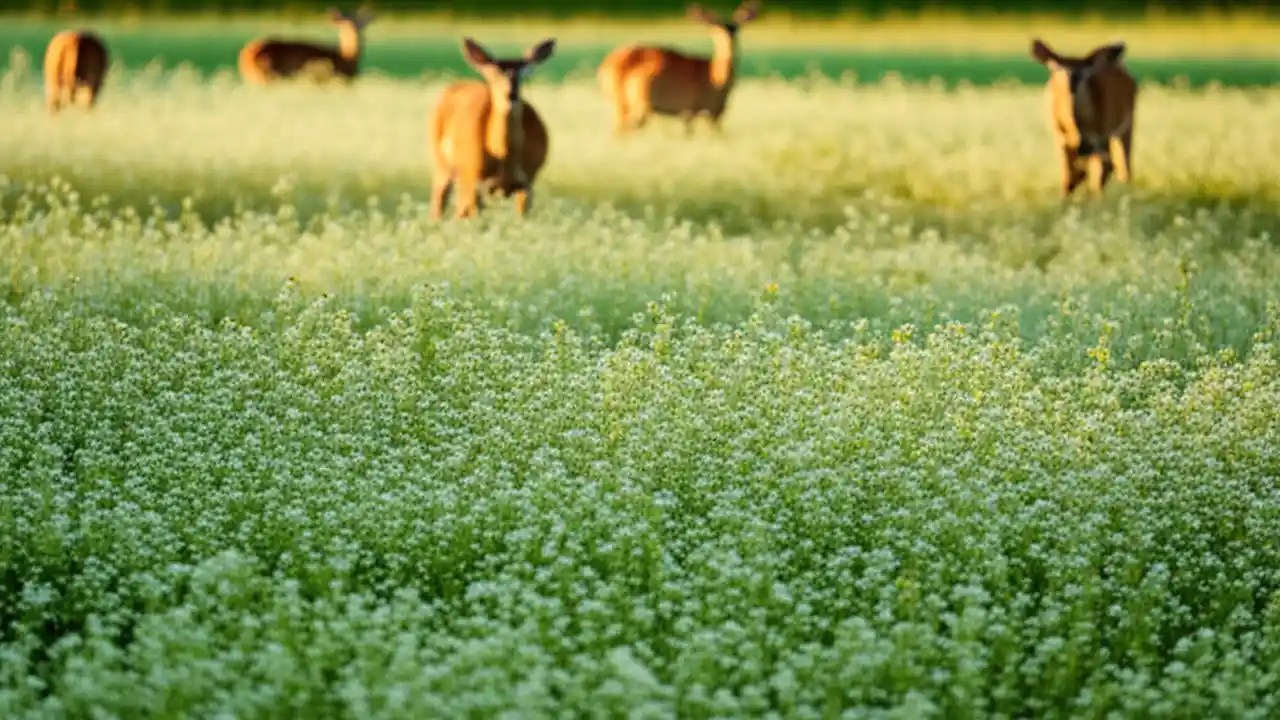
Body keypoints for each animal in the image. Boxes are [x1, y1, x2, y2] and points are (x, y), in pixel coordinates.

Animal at [428, 37, 556, 220]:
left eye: (523, 73)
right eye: (494, 73)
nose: (511, 93)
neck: (504, 156)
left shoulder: (528, 181)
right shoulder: (474, 177)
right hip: (445, 164)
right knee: (442, 204)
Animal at [597, 1, 761, 136]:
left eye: (737, 28)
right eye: (714, 29)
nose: (729, 38)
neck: (717, 81)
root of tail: (609, 64)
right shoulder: (692, 109)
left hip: (621, 101)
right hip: (640, 101)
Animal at [1030, 38, 1138, 198]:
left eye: (1086, 74)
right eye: (1056, 69)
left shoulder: (1098, 138)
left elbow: (1096, 179)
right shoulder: (1060, 139)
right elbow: (1067, 181)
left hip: (1125, 127)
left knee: (1123, 167)